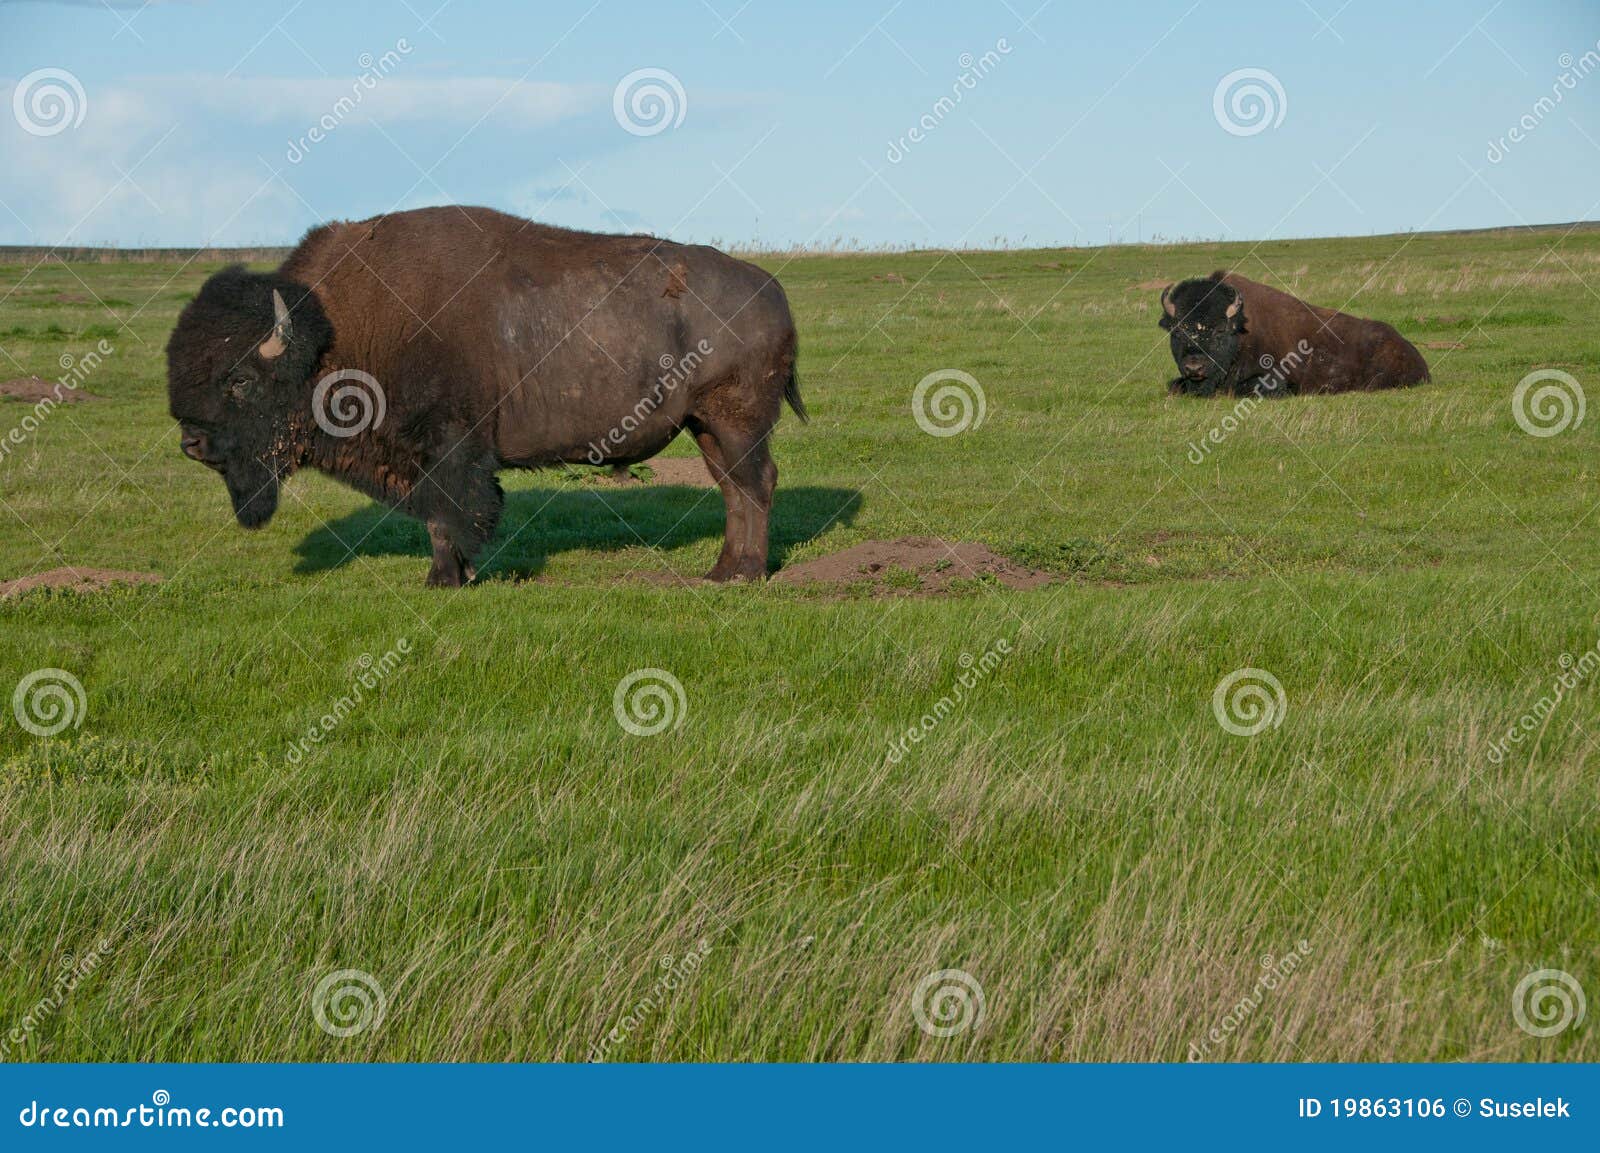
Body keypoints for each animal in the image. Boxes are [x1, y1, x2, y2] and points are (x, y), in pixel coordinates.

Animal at [167, 206, 803, 586]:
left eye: (240, 379)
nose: (191, 443)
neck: (332, 335)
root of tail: (771, 290)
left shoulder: (447, 450)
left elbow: (447, 515)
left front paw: (444, 580)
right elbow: (441, 516)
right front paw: (461, 574)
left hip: (736, 422)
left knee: (755, 484)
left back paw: (747, 572)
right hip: (705, 426)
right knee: (733, 487)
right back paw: (722, 571)